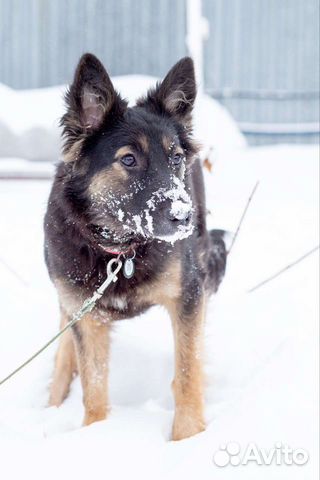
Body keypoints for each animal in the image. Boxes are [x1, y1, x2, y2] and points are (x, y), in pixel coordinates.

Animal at [45, 51, 226, 438]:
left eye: (175, 157)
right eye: (128, 159)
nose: (184, 217)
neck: (119, 250)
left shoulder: (188, 295)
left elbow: (187, 371)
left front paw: (187, 438)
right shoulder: (85, 311)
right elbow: (94, 387)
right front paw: (94, 432)